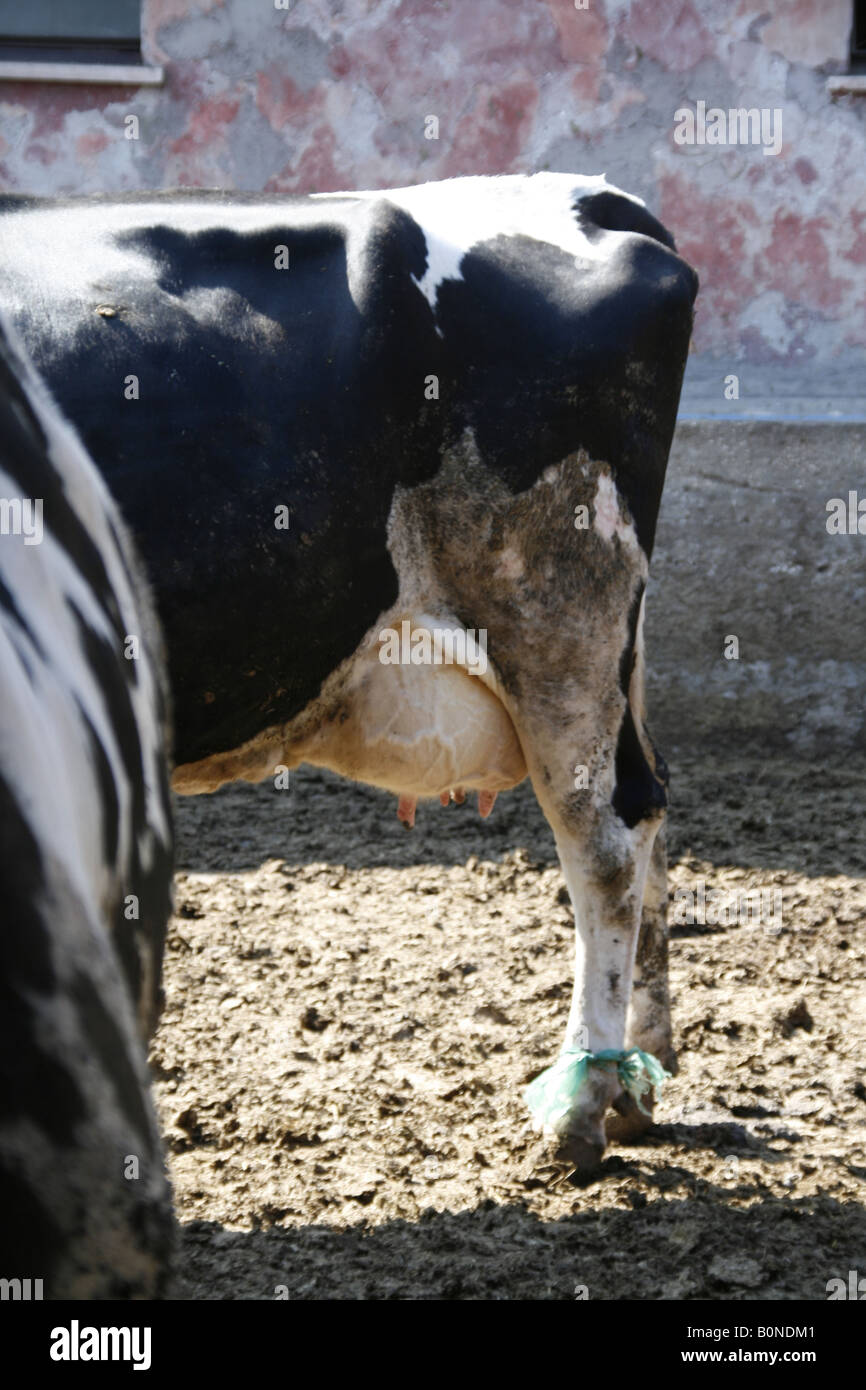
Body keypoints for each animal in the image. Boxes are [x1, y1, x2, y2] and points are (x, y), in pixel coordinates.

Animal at [0, 173, 697, 1171]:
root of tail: (596, 198)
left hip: (558, 610)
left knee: (605, 841)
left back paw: (580, 1101)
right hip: (608, 644)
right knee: (650, 808)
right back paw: (640, 1080)